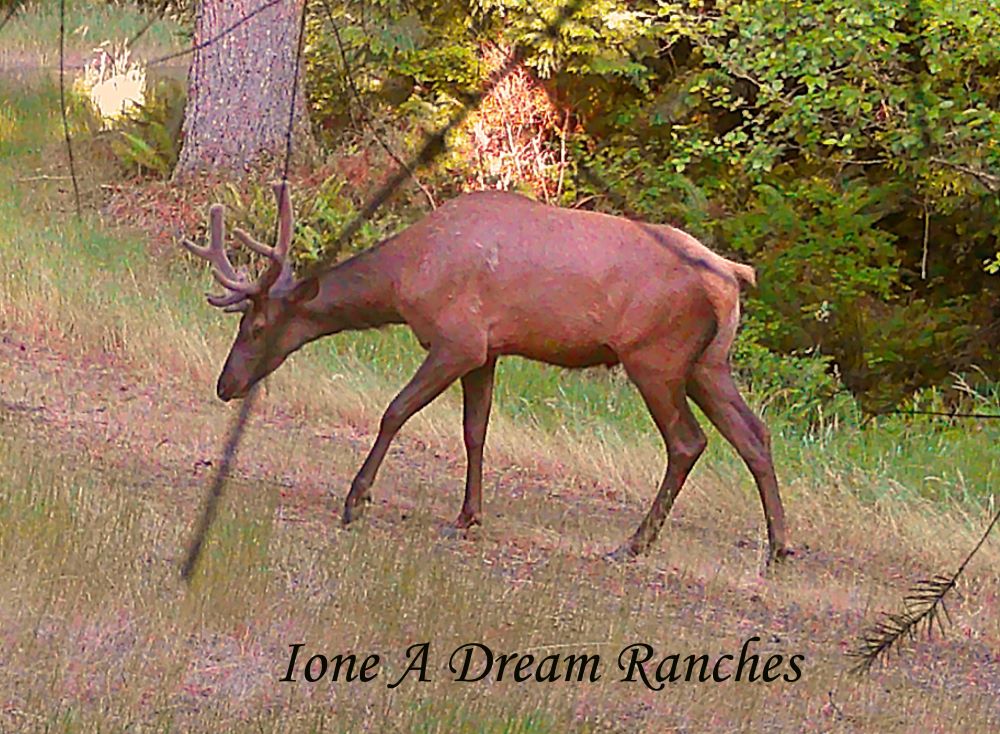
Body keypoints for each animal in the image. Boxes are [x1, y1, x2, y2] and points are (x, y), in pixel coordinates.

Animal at [182, 182, 790, 564]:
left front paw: (357, 499)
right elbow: (476, 431)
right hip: (708, 364)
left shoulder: (459, 340)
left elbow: (395, 411)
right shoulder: (489, 351)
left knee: (689, 442)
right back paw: (779, 546)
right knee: (754, 434)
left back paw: (635, 543)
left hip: (655, 356)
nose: (226, 385)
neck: (405, 278)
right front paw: (468, 515)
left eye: (258, 325)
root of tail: (732, 276)